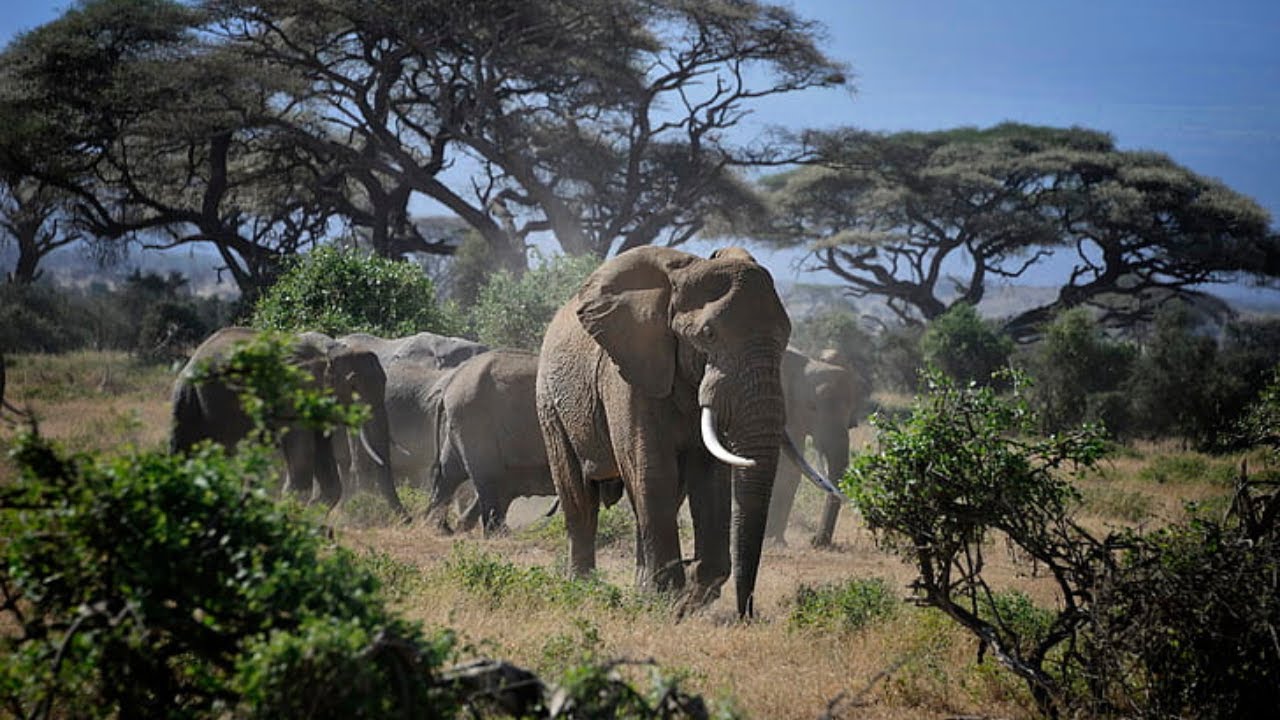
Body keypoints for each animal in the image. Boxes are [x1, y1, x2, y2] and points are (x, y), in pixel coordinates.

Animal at [170, 326, 405, 518]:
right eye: (353, 384)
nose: (408, 519)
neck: (332, 349)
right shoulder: (292, 393)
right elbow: (301, 463)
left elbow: (329, 477)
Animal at [423, 349, 624, 535]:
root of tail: (451, 382)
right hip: (474, 420)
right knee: (487, 479)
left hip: (460, 425)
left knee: (450, 473)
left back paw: (439, 528)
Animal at [536, 245, 836, 619]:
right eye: (708, 335)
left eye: (785, 339)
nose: (746, 614)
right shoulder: (630, 373)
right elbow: (653, 471)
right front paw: (671, 598)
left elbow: (711, 478)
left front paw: (687, 599)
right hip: (549, 402)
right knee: (578, 494)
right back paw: (583, 588)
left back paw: (642, 591)